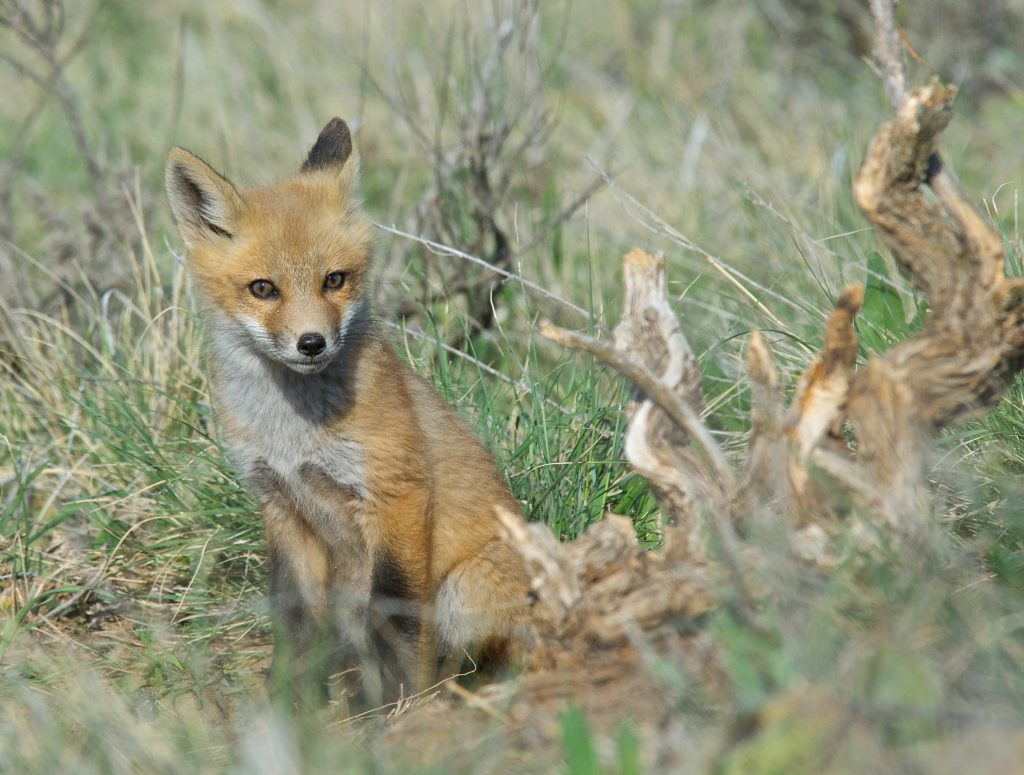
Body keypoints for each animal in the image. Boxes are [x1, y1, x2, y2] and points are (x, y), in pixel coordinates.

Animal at [164, 117, 530, 706]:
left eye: (334, 279)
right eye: (263, 289)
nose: (312, 343)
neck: (294, 435)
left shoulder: (396, 496)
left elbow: (395, 613)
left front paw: (394, 707)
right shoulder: (281, 503)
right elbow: (293, 619)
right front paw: (292, 701)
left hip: (461, 590)